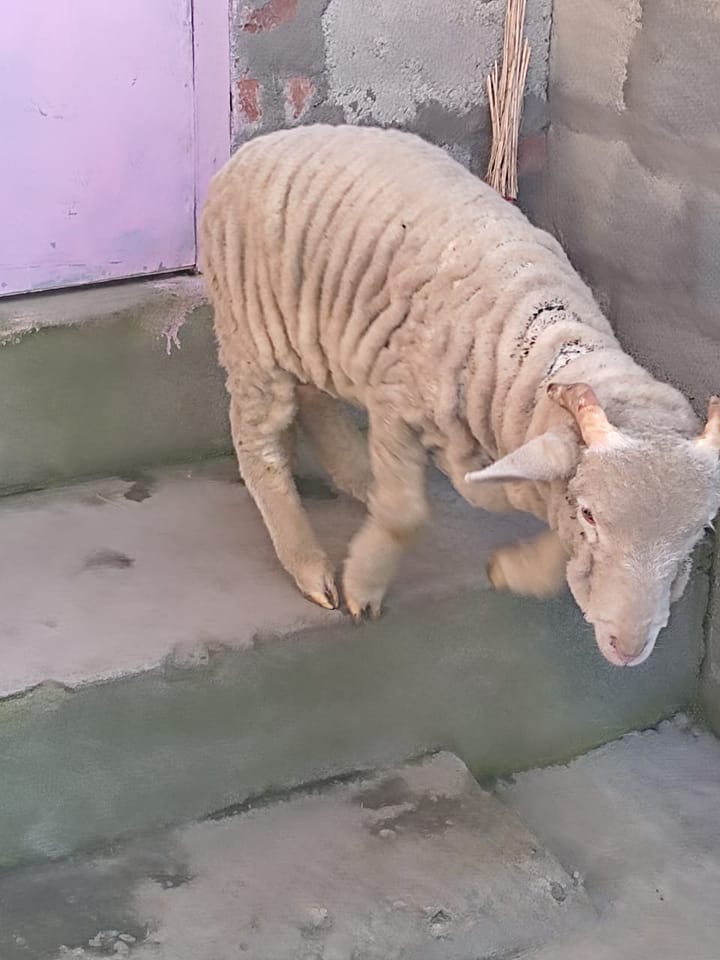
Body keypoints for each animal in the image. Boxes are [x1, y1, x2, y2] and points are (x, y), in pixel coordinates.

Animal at [200, 123, 720, 667]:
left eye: (698, 534)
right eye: (591, 515)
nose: (629, 649)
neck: (538, 352)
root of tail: (265, 141)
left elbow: (557, 554)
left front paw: (511, 571)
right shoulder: (398, 404)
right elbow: (404, 514)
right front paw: (363, 588)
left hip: (312, 334)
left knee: (315, 400)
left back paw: (360, 480)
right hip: (248, 331)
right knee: (259, 442)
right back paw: (308, 565)